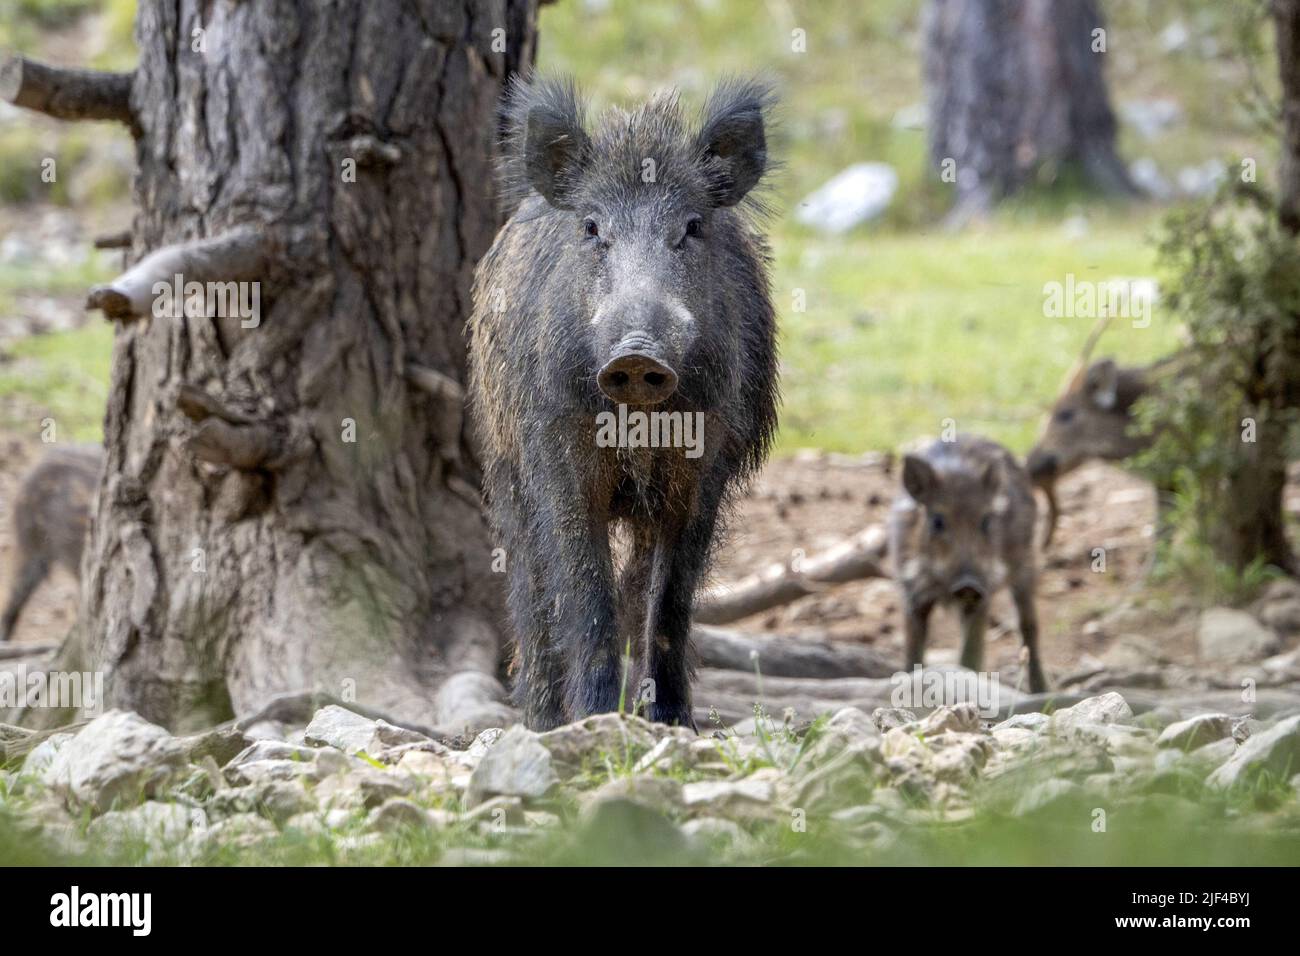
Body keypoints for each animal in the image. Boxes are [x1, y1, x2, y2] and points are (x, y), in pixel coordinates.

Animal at [467, 77, 780, 730]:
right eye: (592, 228)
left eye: (691, 226)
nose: (636, 353)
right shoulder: (554, 447)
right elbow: (585, 590)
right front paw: (592, 720)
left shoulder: (707, 463)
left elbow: (670, 598)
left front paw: (674, 723)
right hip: (503, 461)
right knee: (531, 589)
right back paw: (539, 719)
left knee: (637, 587)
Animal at [889, 436, 1046, 693]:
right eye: (937, 521)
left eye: (986, 520)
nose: (968, 584)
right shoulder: (912, 594)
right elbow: (913, 656)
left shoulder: (983, 595)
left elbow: (969, 658)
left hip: (1025, 565)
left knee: (1029, 626)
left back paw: (1042, 690)